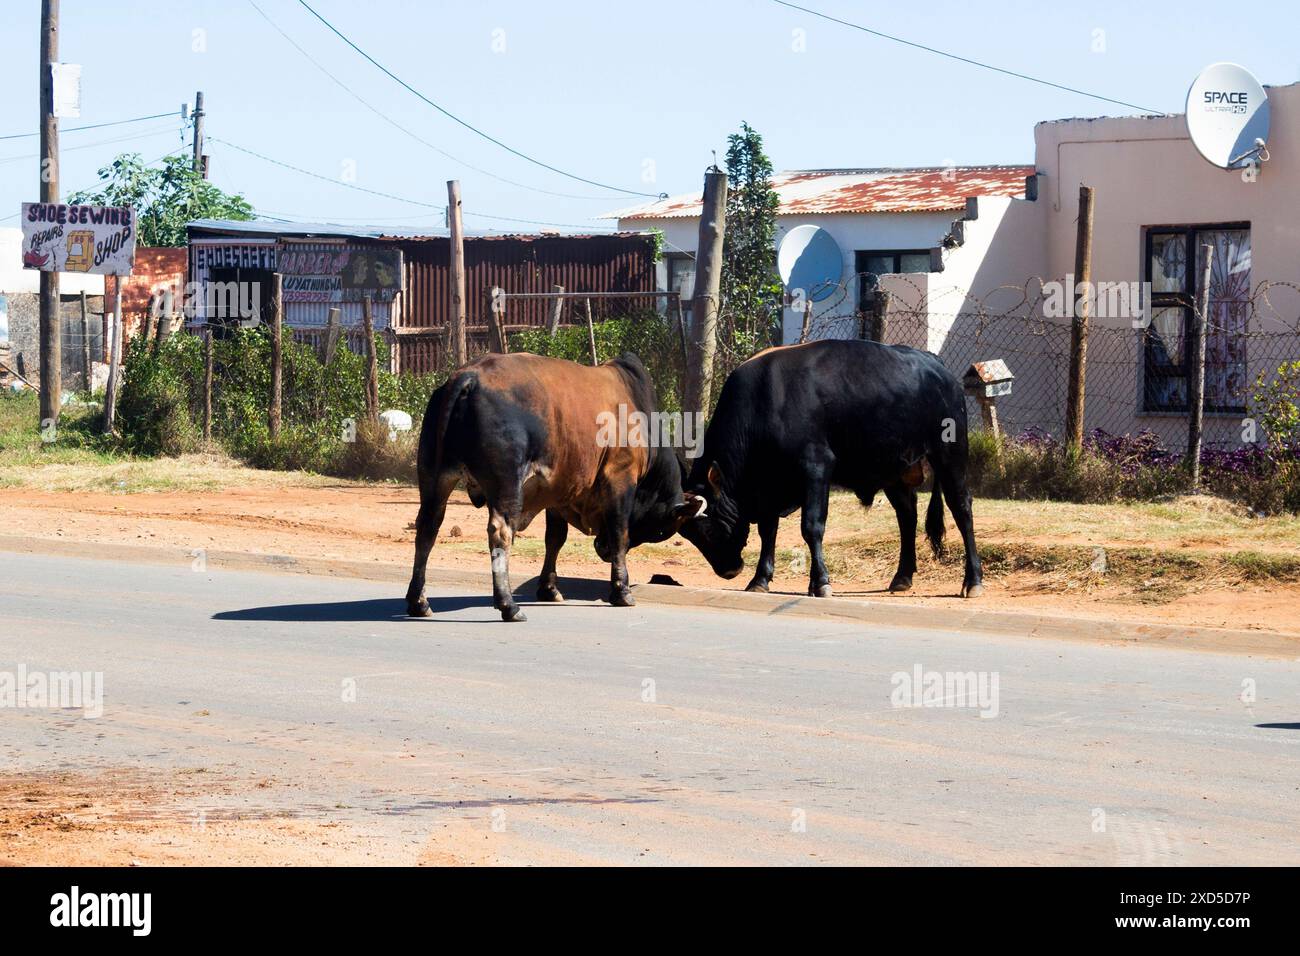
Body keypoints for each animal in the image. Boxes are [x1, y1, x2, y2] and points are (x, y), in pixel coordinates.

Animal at [405, 351, 705, 622]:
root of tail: (468, 377)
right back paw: (508, 605)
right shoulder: (620, 479)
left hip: (435, 478)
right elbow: (620, 533)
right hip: (507, 485)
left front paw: (549, 589)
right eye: (662, 530)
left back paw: (419, 602)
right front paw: (622, 592)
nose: (602, 550)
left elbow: (555, 539)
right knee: (500, 533)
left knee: (428, 528)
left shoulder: (557, 494)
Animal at [676, 339, 983, 599]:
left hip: (950, 453)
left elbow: (811, 526)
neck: (764, 403)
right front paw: (759, 579)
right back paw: (902, 577)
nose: (728, 570)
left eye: (707, 527)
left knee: (961, 508)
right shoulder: (769, 488)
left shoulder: (816, 467)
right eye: (688, 534)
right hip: (893, 471)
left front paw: (820, 582)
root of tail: (937, 365)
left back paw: (973, 580)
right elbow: (768, 531)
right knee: (907, 516)